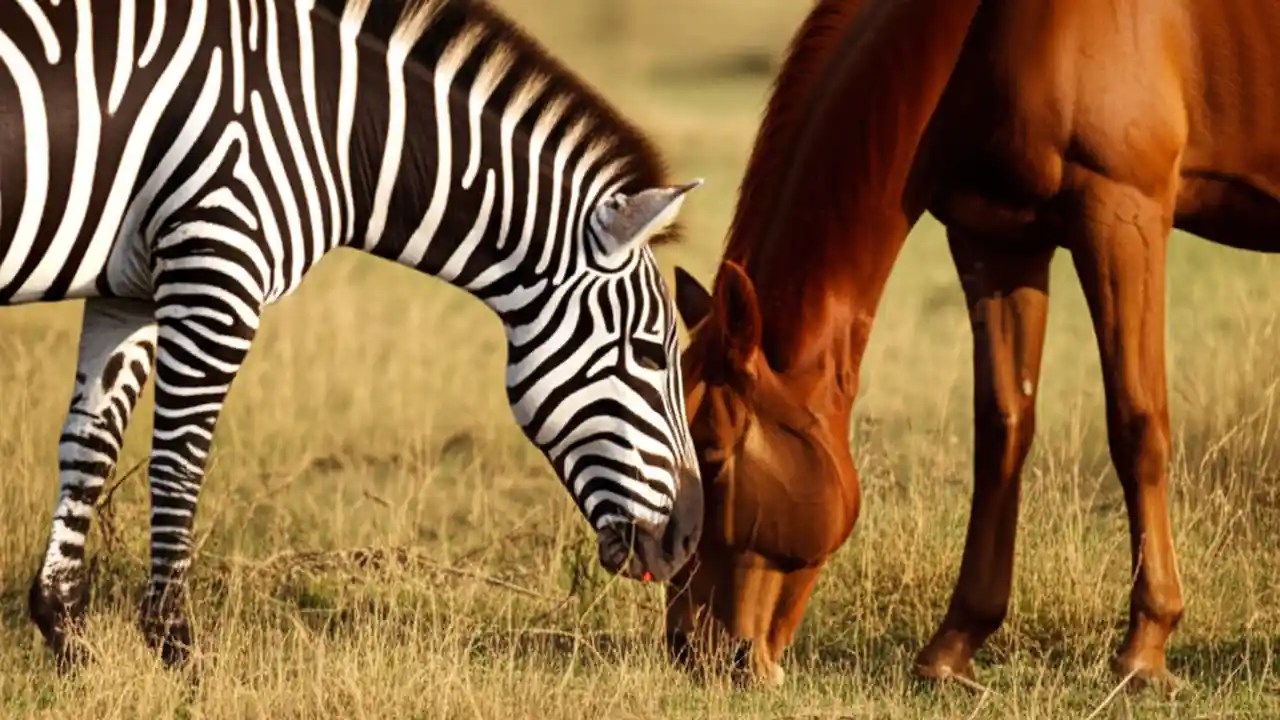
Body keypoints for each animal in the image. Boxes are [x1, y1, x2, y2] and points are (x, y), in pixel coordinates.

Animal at [3, 0, 705, 668]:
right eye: (650, 354)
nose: (690, 538)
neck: (329, 129)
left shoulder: (130, 291)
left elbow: (89, 448)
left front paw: (67, 638)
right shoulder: (218, 268)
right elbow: (180, 462)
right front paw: (176, 650)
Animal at [667, 0, 1280, 687]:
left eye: (713, 451)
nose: (689, 649)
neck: (988, 27)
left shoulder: (1122, 214)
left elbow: (1137, 425)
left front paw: (1145, 647)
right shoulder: (997, 241)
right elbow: (1002, 430)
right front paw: (953, 645)